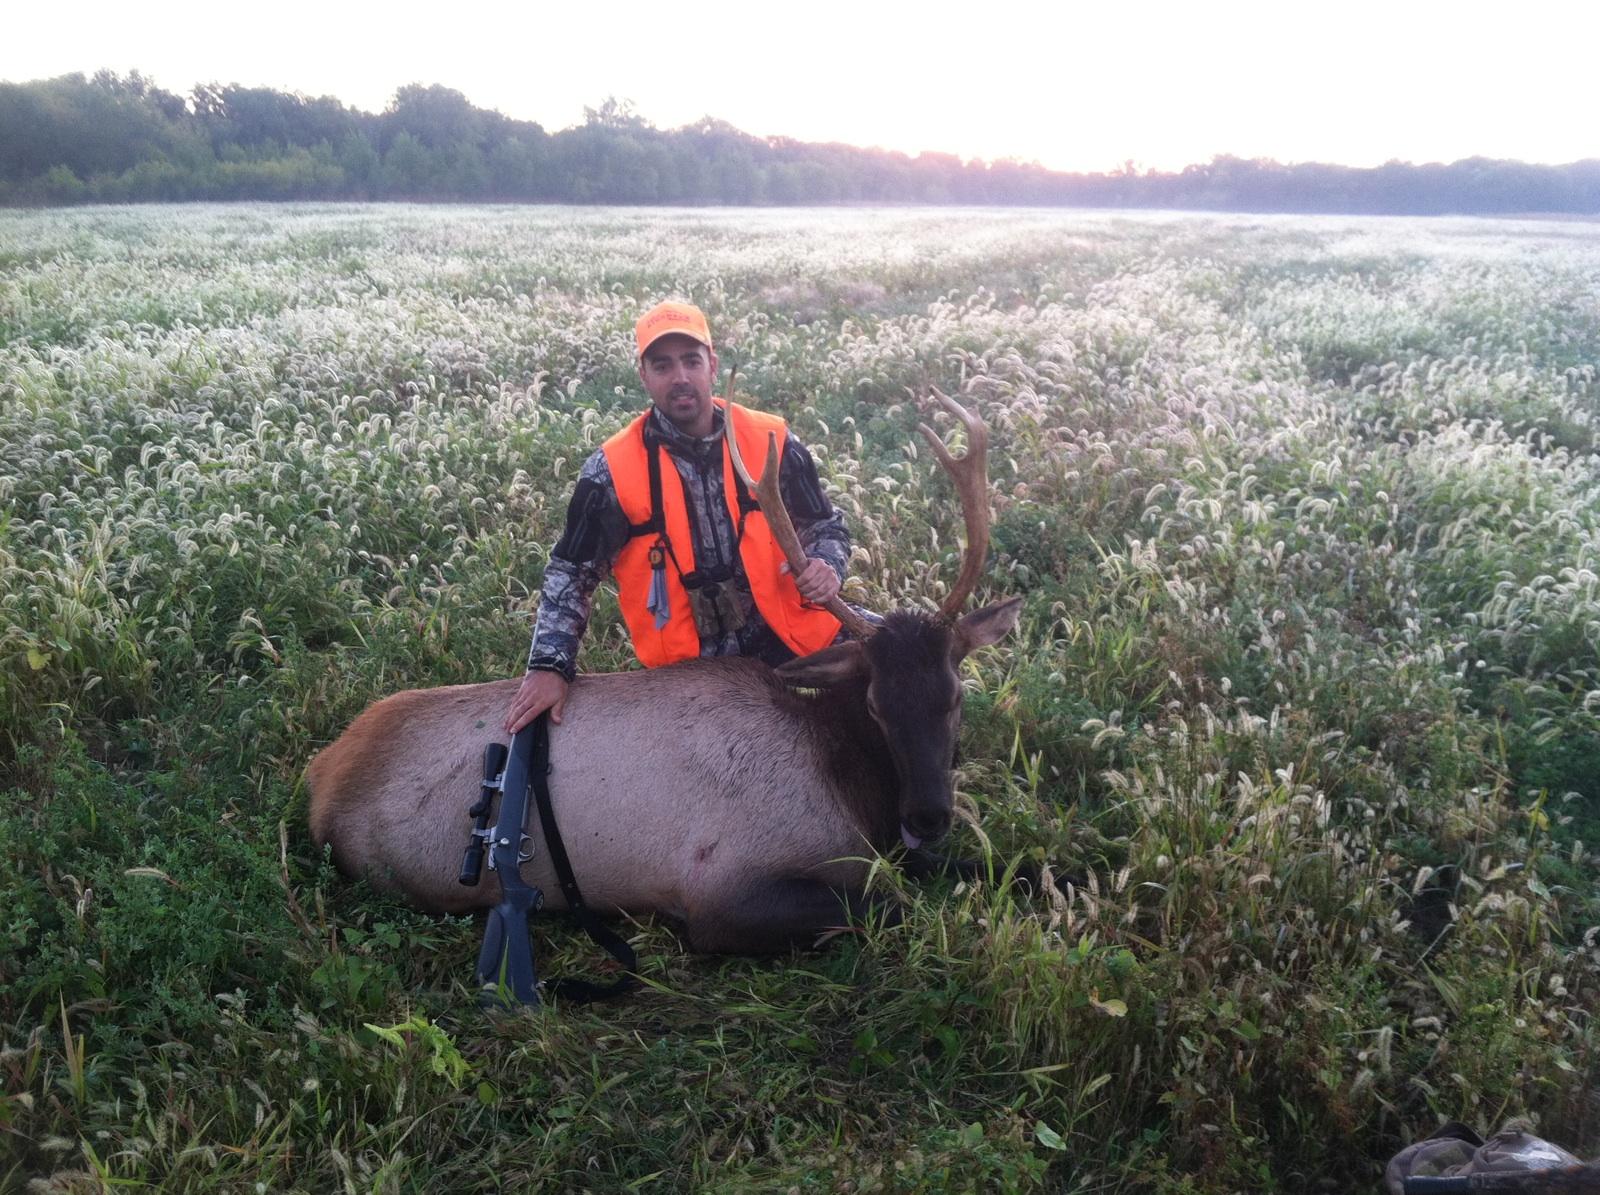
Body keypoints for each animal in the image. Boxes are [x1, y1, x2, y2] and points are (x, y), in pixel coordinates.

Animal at [305, 390, 1021, 954]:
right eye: (873, 702)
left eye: (956, 696)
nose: (928, 816)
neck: (849, 787)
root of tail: (319, 775)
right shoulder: (721, 892)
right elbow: (892, 906)